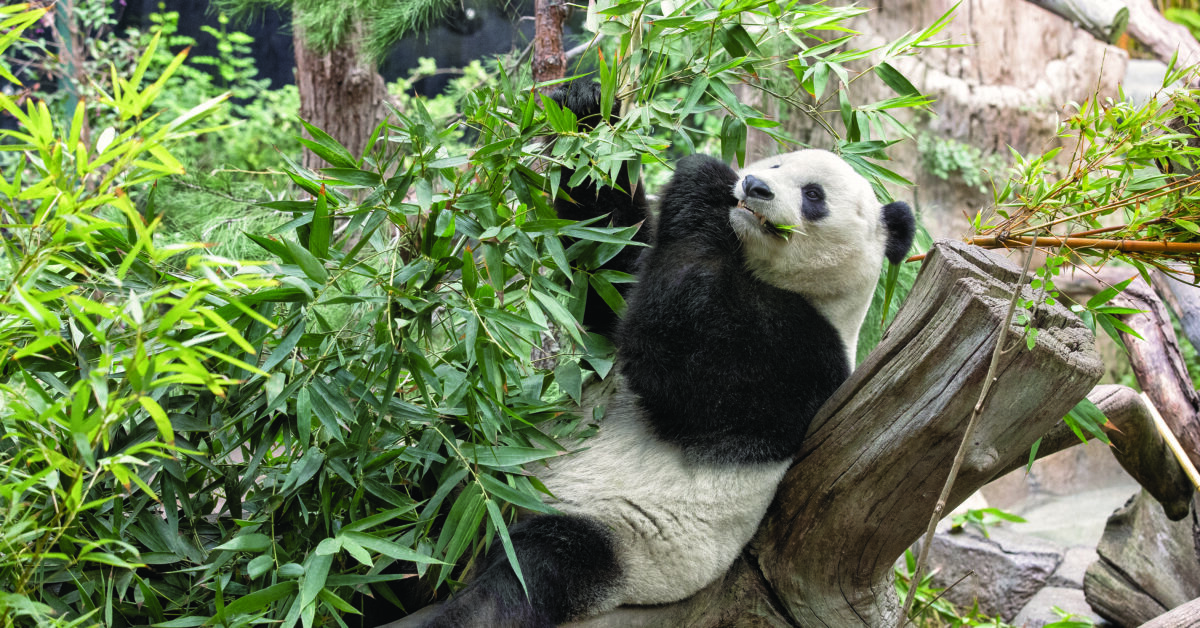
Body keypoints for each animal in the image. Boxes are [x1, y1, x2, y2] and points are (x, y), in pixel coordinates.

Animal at [414, 84, 916, 628]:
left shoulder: (803, 358)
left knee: (525, 578)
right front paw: (587, 110)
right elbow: (608, 267)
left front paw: (706, 180)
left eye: (814, 195)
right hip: (487, 455)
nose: (754, 185)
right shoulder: (630, 280)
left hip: (616, 543)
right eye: (777, 163)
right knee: (431, 467)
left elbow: (683, 362)